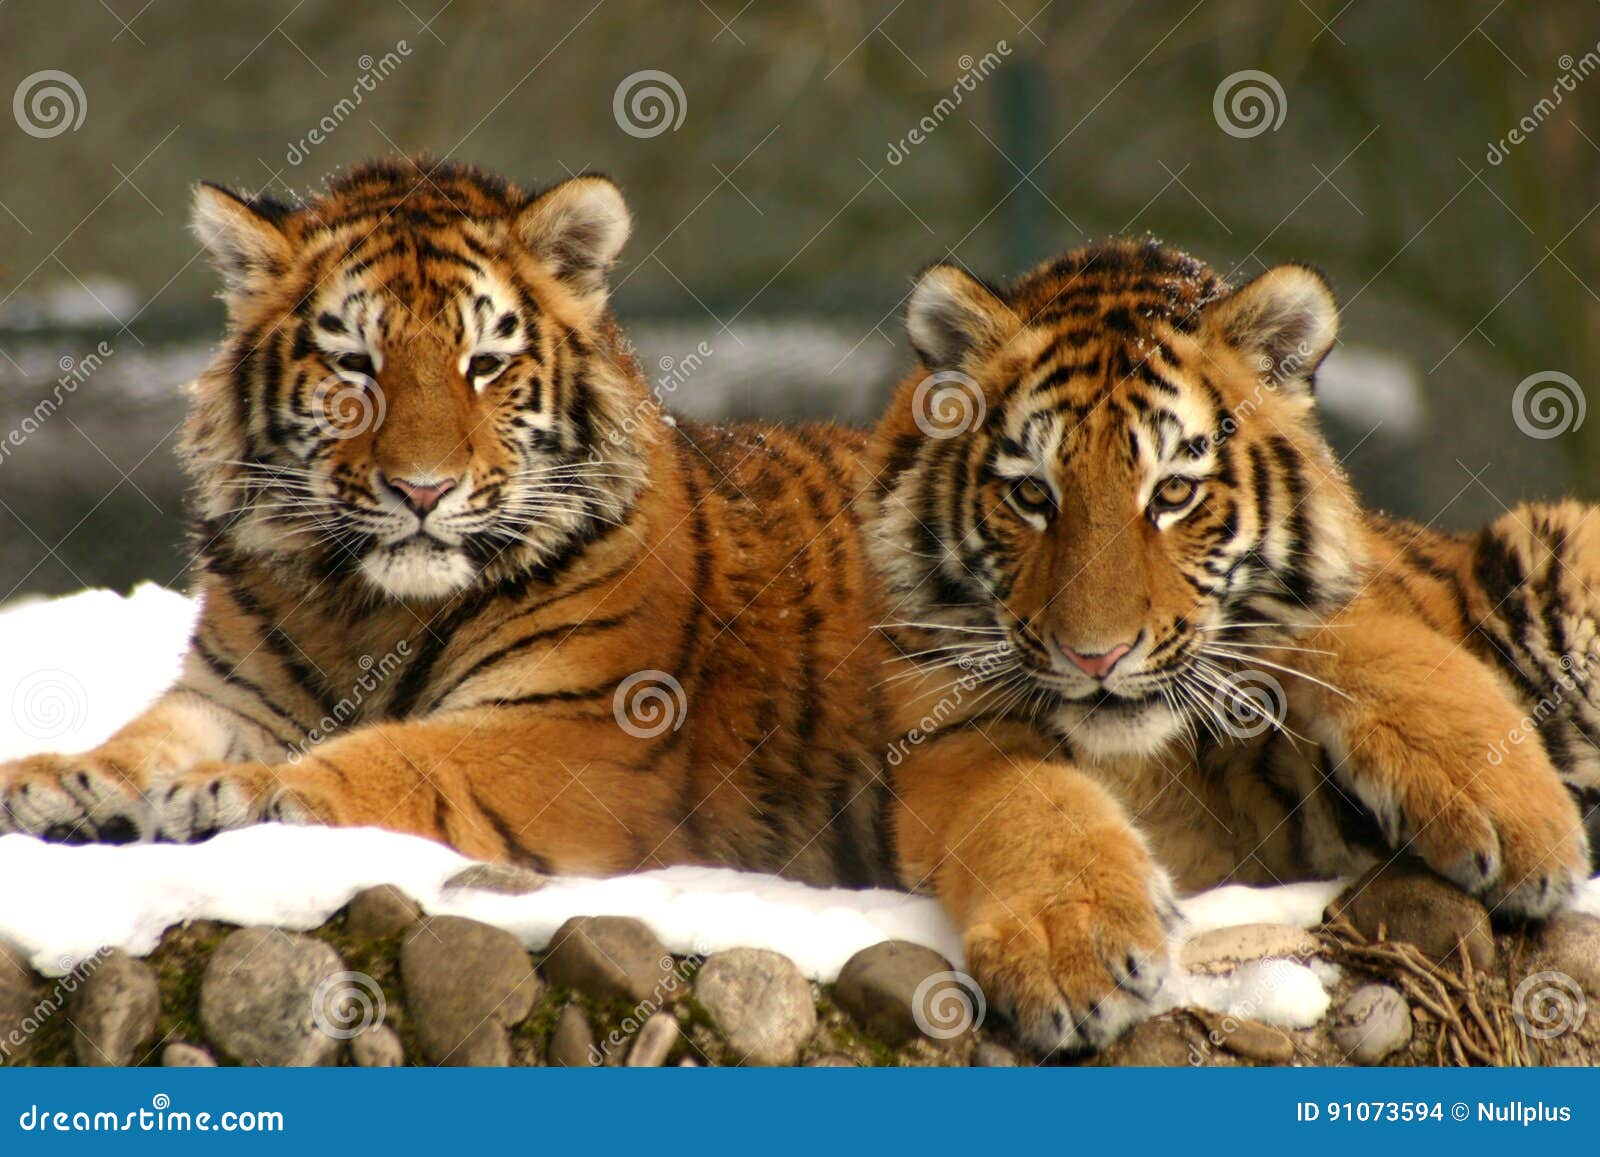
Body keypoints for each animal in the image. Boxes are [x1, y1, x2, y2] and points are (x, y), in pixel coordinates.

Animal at [0, 158, 1183, 1057]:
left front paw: (231, 795)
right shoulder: (233, 691)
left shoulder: (582, 733)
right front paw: (59, 783)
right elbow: (140, 737)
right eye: (354, 363)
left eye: (485, 363)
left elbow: (399, 756)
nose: (421, 489)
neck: (365, 606)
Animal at [861, 237, 1598, 1047]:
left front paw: (1522, 821)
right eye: (1031, 495)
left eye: (1174, 493)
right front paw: (1075, 947)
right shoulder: (946, 736)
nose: (1095, 656)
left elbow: (1355, 631)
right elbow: (1022, 800)